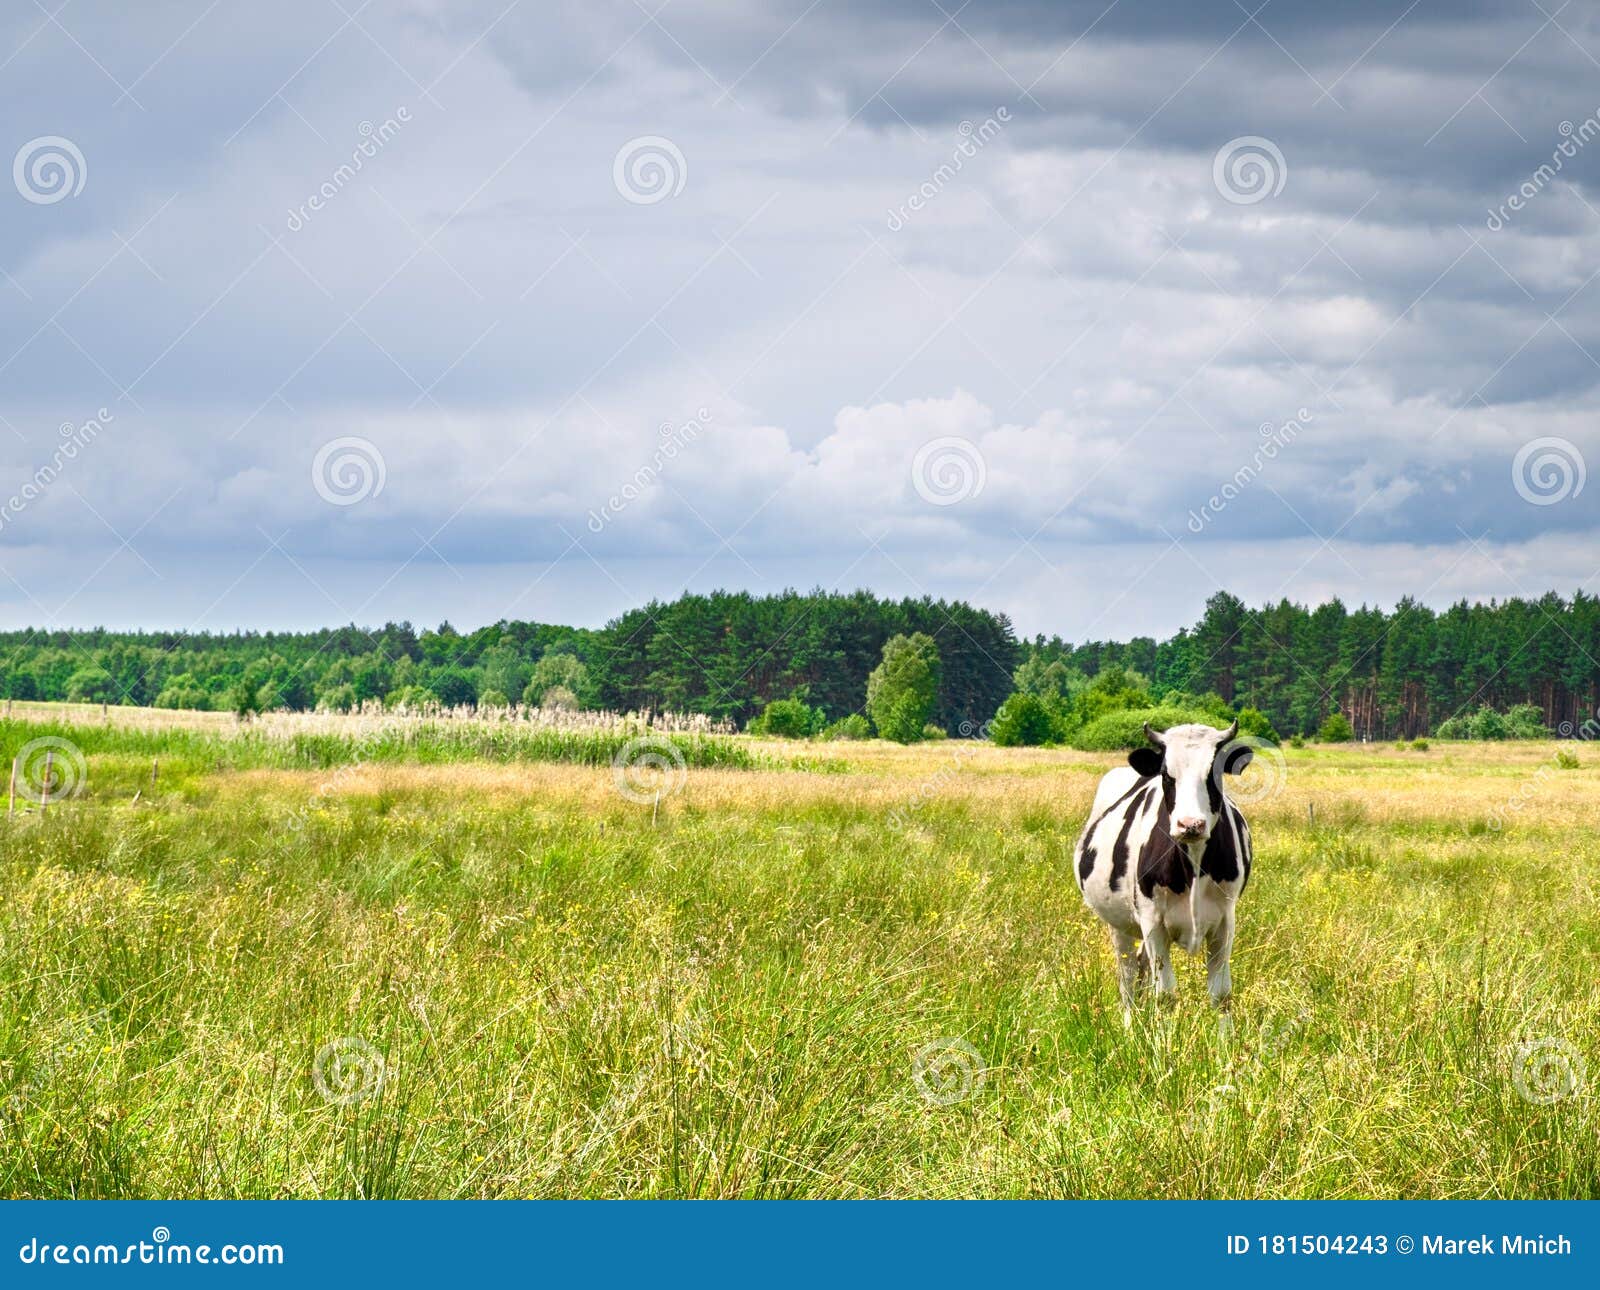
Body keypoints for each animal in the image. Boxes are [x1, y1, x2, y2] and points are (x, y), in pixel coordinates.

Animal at [1074, 720, 1254, 1020]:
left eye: (1214, 774)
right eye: (1167, 776)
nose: (1190, 824)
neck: (1193, 864)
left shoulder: (1225, 922)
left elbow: (1221, 995)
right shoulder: (1153, 921)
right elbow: (1166, 995)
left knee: (1141, 966)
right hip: (1119, 923)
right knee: (1128, 977)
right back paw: (1130, 1023)